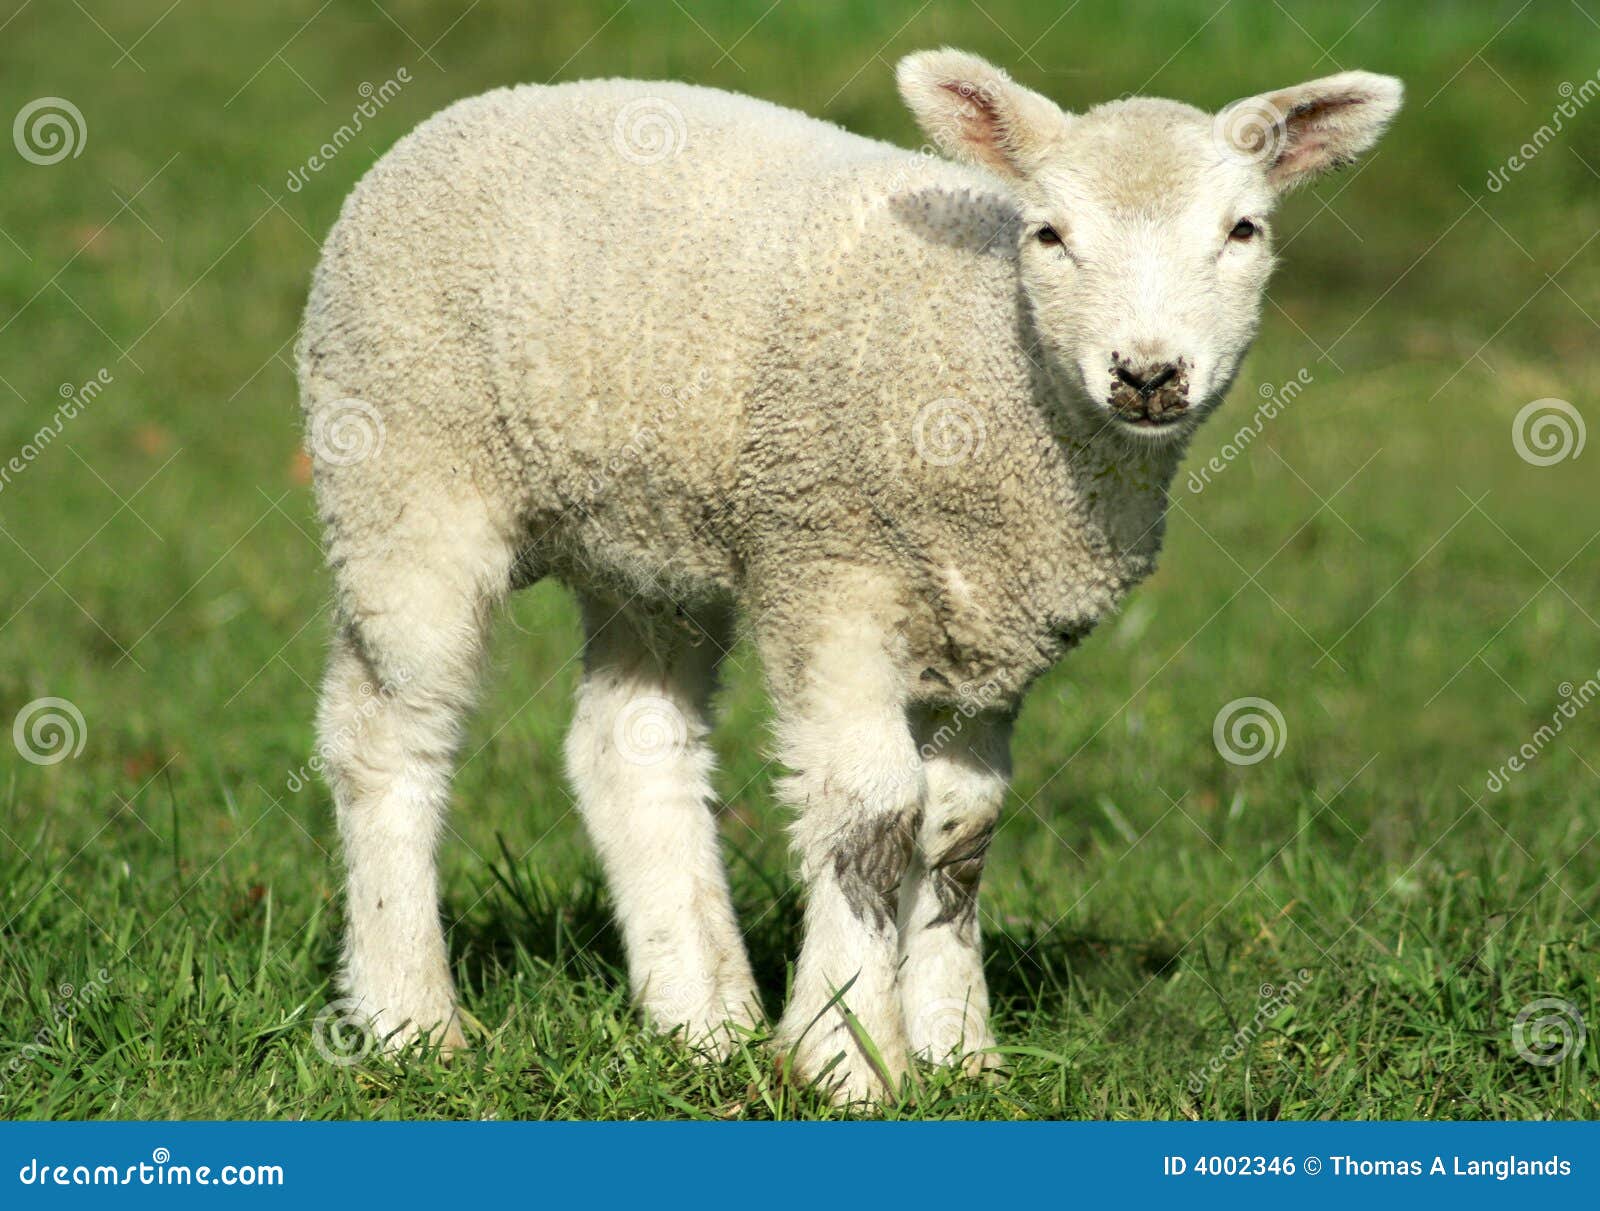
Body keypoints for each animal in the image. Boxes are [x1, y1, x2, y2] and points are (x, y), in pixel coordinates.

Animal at [297, 48, 1401, 1104]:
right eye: (1047, 234)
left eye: (1244, 230)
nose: (1148, 374)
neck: (996, 373)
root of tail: (479, 108)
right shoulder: (828, 564)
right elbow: (873, 811)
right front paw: (847, 1058)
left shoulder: (990, 625)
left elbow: (959, 828)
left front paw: (957, 1050)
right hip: (402, 464)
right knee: (386, 730)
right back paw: (409, 1015)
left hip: (646, 532)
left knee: (629, 745)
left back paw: (703, 1018)